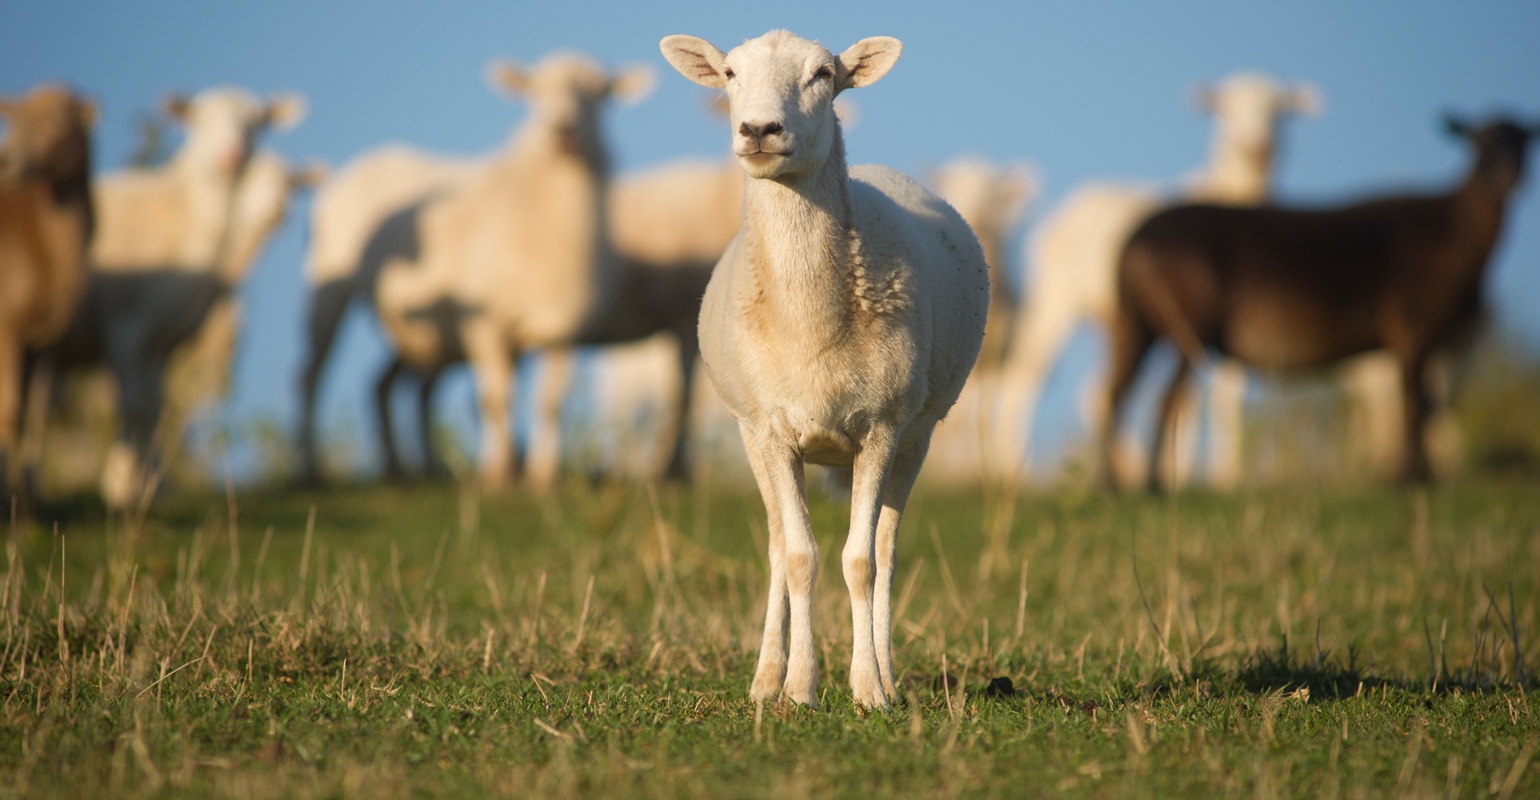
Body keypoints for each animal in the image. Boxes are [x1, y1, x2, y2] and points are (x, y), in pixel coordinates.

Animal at [75, 87, 306, 506]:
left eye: (257, 120)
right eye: (201, 118)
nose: (232, 154)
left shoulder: (161, 337)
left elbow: (155, 406)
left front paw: (154, 487)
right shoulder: (124, 324)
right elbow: (132, 404)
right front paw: (120, 488)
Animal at [367, 52, 652, 488]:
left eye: (599, 93)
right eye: (535, 90)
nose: (564, 130)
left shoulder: (563, 328)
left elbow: (550, 401)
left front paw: (542, 476)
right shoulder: (484, 325)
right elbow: (495, 397)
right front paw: (498, 475)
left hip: (424, 336)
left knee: (394, 387)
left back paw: (413, 470)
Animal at [660, 30, 990, 709]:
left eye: (822, 74)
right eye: (729, 73)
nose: (760, 129)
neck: (809, 321)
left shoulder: (883, 427)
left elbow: (860, 562)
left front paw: (868, 690)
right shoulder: (771, 430)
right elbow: (798, 557)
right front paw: (797, 688)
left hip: (917, 434)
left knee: (886, 549)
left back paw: (886, 673)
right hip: (751, 435)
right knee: (774, 543)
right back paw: (765, 678)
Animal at [995, 73, 1319, 485]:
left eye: (1280, 110)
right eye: (1226, 109)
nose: (1259, 146)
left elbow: (1226, 397)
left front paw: (1225, 475)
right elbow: (1189, 400)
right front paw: (1179, 473)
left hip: (1116, 319)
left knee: (1096, 391)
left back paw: (1124, 467)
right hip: (1058, 298)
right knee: (1026, 380)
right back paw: (1013, 470)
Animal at [1105, 115, 1535, 490]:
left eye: (1525, 141)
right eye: (1479, 142)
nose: (1508, 175)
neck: (1455, 230)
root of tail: (1133, 243)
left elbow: (1426, 407)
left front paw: (1420, 477)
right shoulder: (1413, 328)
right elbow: (1415, 405)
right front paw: (1409, 479)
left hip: (1139, 326)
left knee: (1116, 394)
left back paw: (1117, 485)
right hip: (1186, 326)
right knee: (1165, 401)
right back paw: (1151, 486)